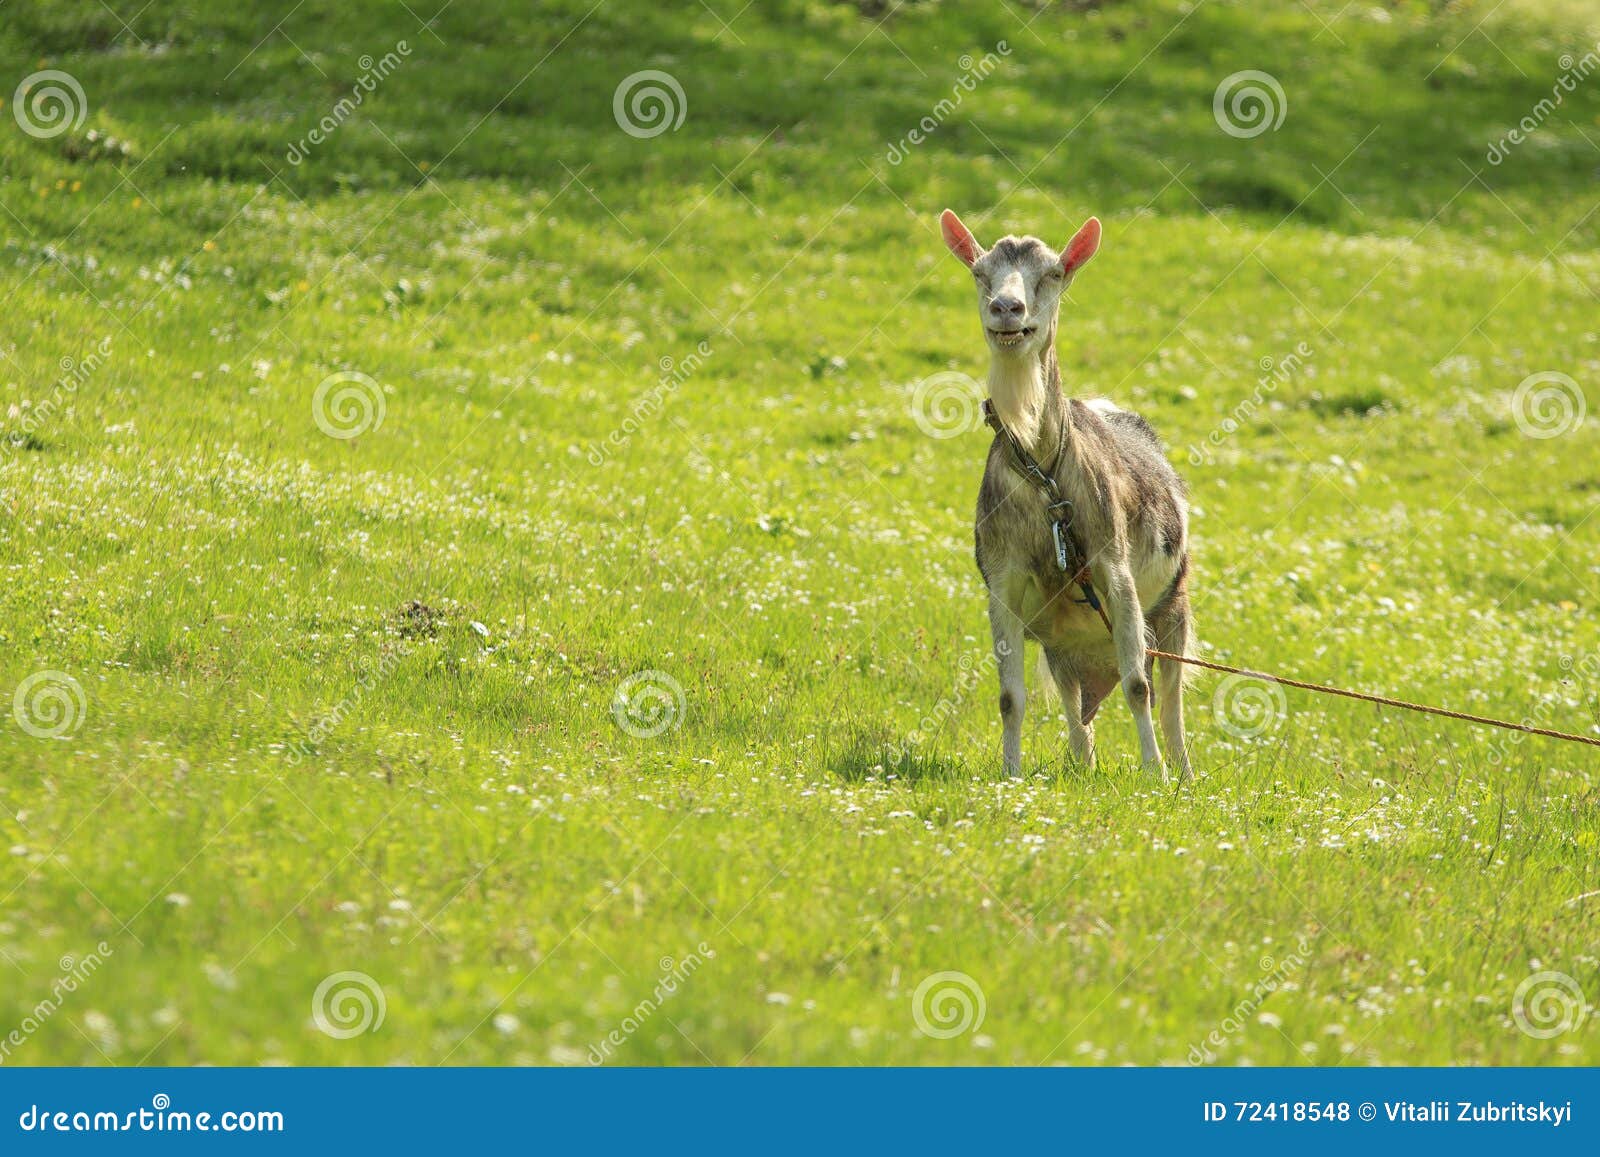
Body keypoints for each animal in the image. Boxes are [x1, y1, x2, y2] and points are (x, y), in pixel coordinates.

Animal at [940, 209, 1193, 781]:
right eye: (980, 272)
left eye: (1054, 273)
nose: (1006, 309)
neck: (1045, 479)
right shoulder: (1003, 581)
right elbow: (1009, 697)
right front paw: (1010, 774)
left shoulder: (1116, 573)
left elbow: (1139, 687)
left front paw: (1154, 774)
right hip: (1064, 650)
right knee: (1078, 709)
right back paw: (1082, 767)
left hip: (1174, 608)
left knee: (1169, 698)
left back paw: (1182, 774)